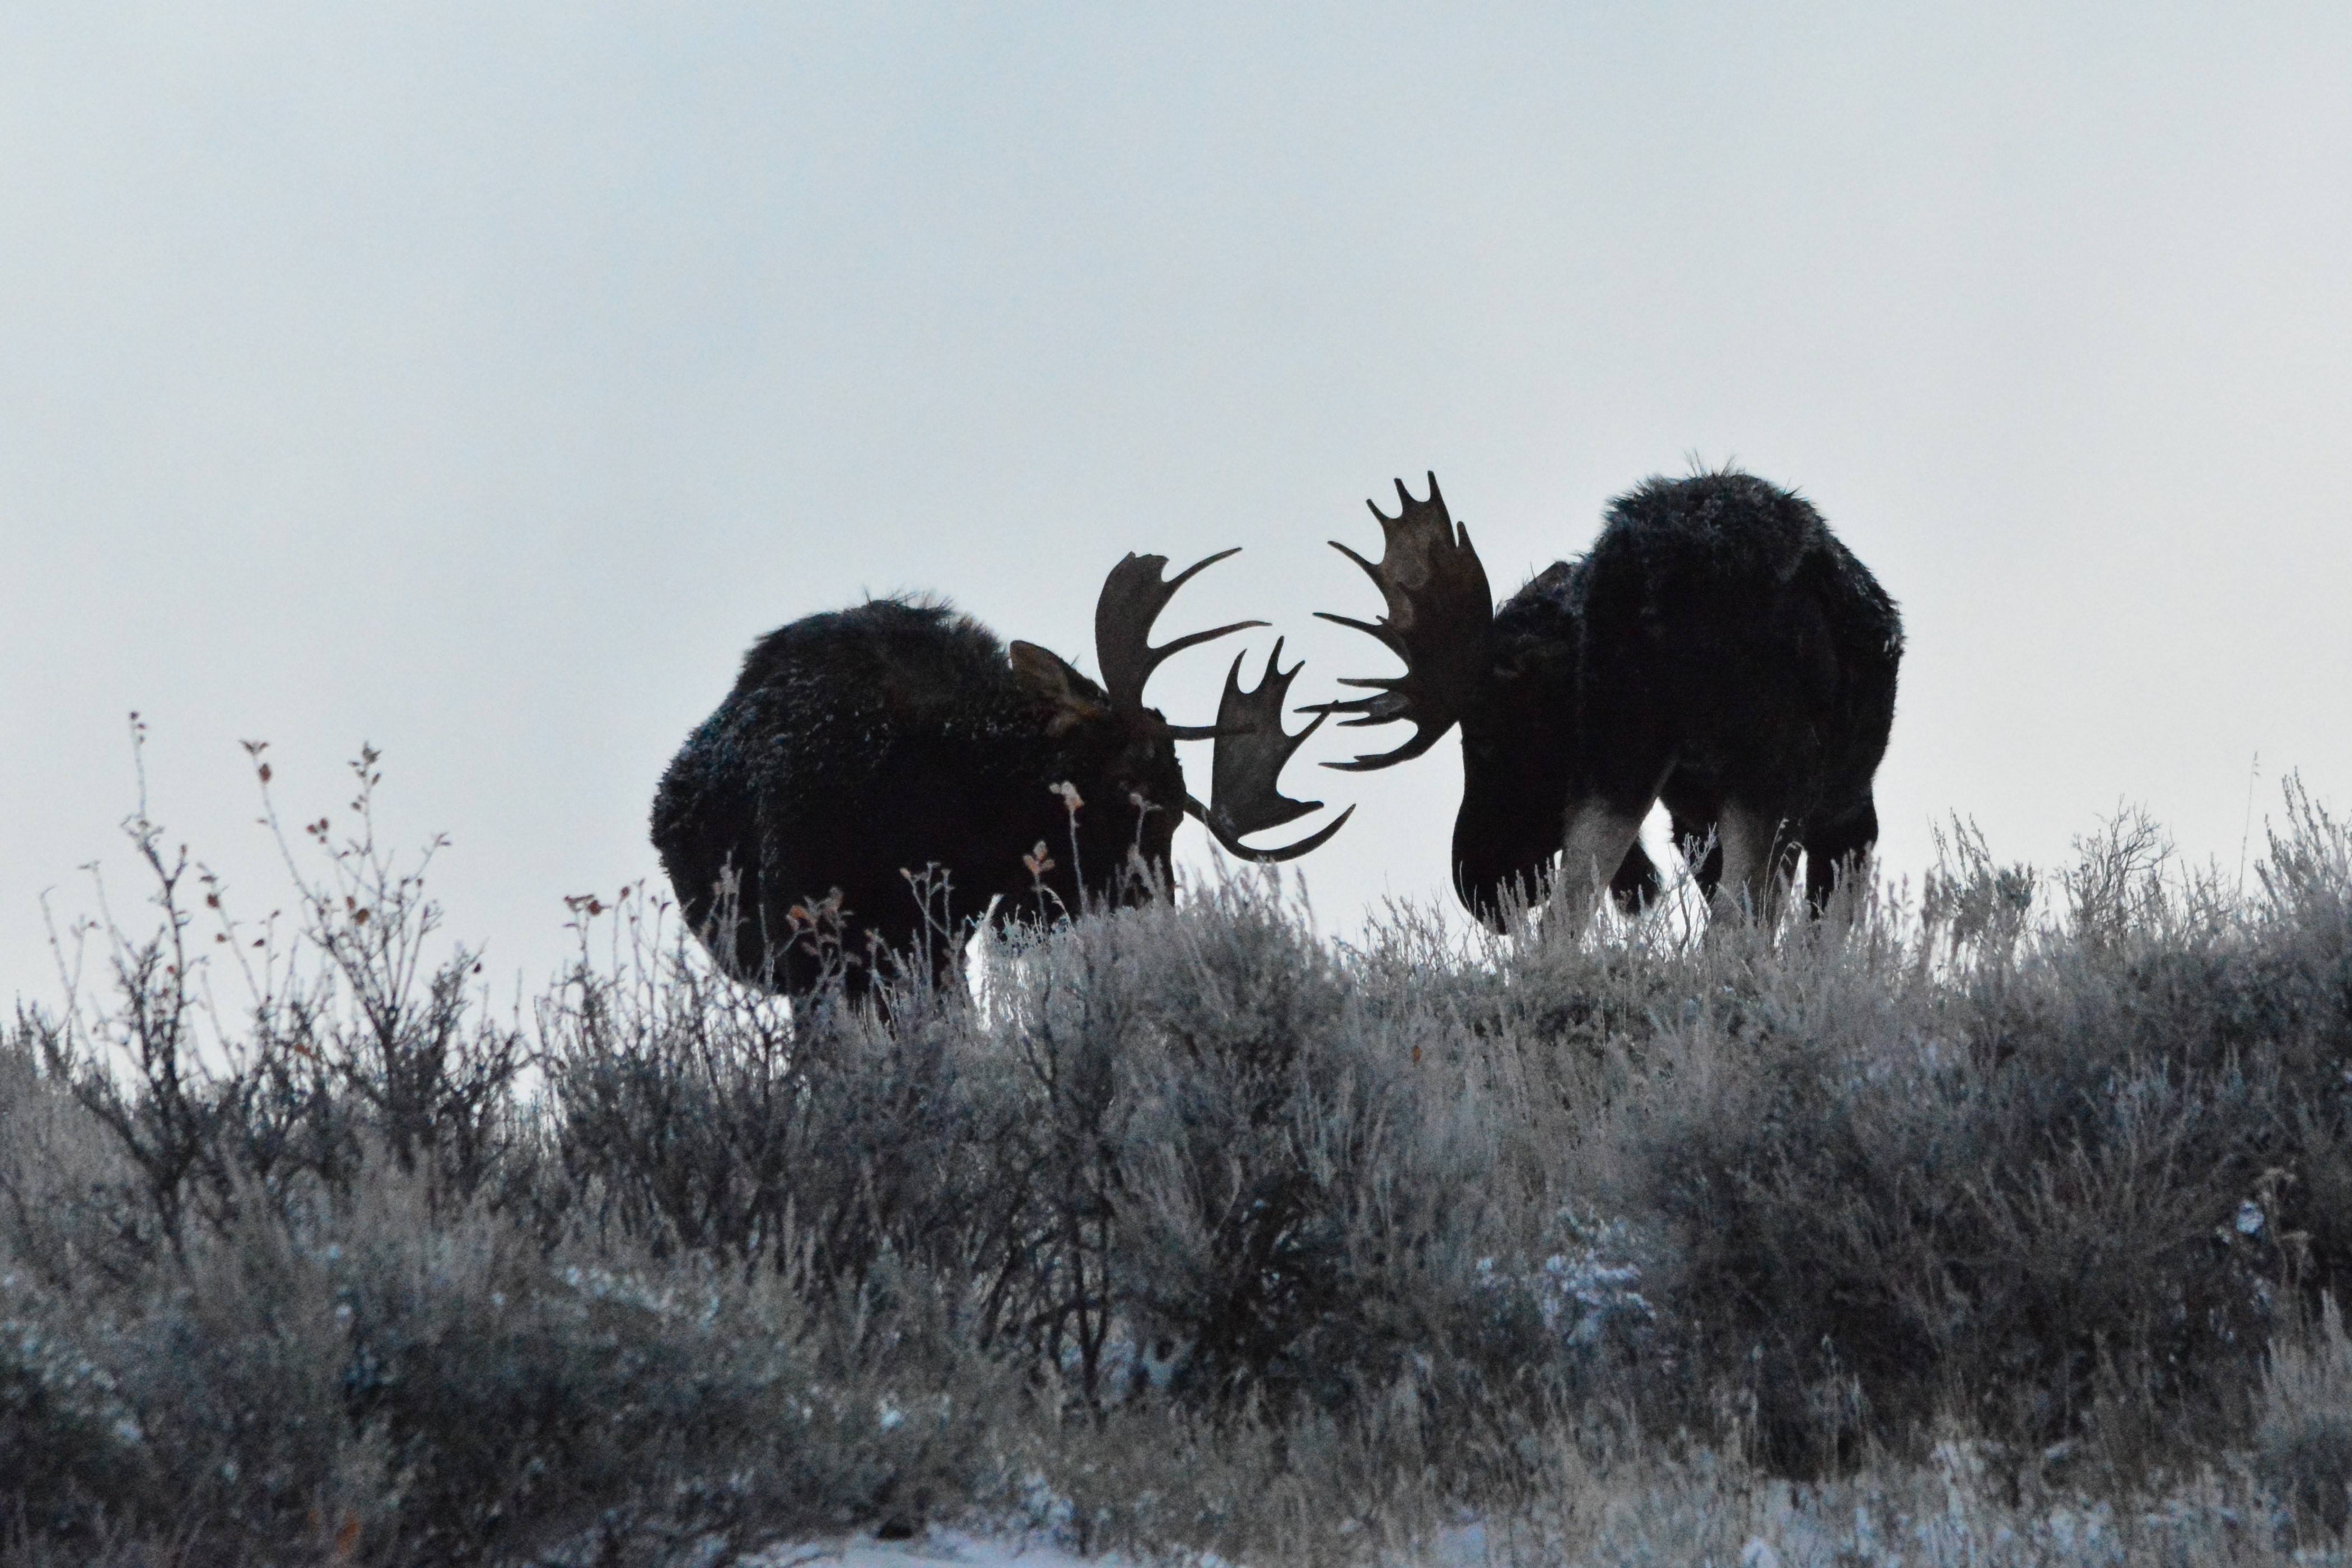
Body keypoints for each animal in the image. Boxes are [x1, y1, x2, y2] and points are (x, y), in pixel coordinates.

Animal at [1313, 468, 1901, 932]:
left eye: (1481, 734)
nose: (1478, 885)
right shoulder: (1842, 809)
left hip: (1629, 754)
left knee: (1567, 917)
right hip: (1760, 770)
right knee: (1731, 933)